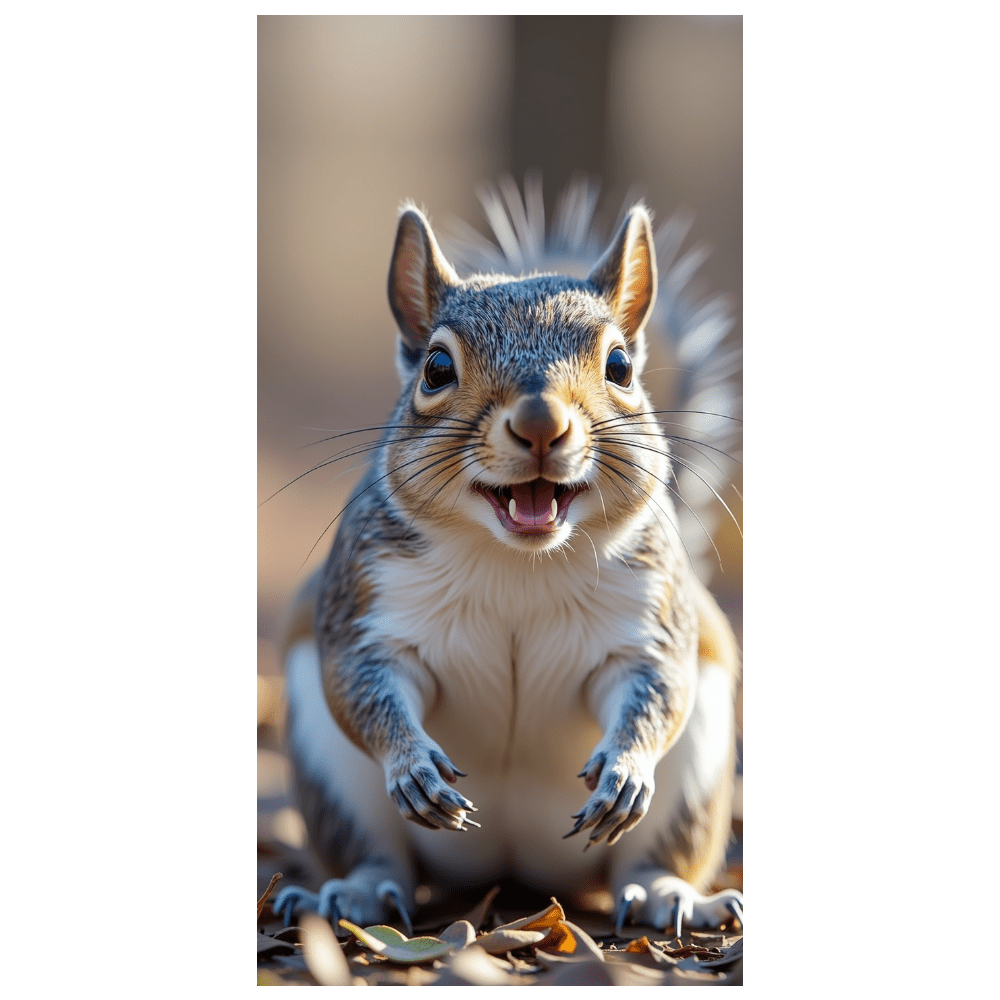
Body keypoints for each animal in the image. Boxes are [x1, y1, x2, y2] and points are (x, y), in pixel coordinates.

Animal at [271, 176, 743, 939]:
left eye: (619, 366)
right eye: (436, 368)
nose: (541, 422)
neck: (520, 563)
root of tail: (518, 877)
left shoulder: (651, 620)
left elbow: (659, 691)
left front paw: (627, 765)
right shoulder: (365, 606)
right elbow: (360, 687)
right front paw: (410, 764)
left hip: (697, 775)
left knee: (646, 859)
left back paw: (670, 894)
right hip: (330, 772)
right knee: (379, 854)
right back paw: (352, 892)